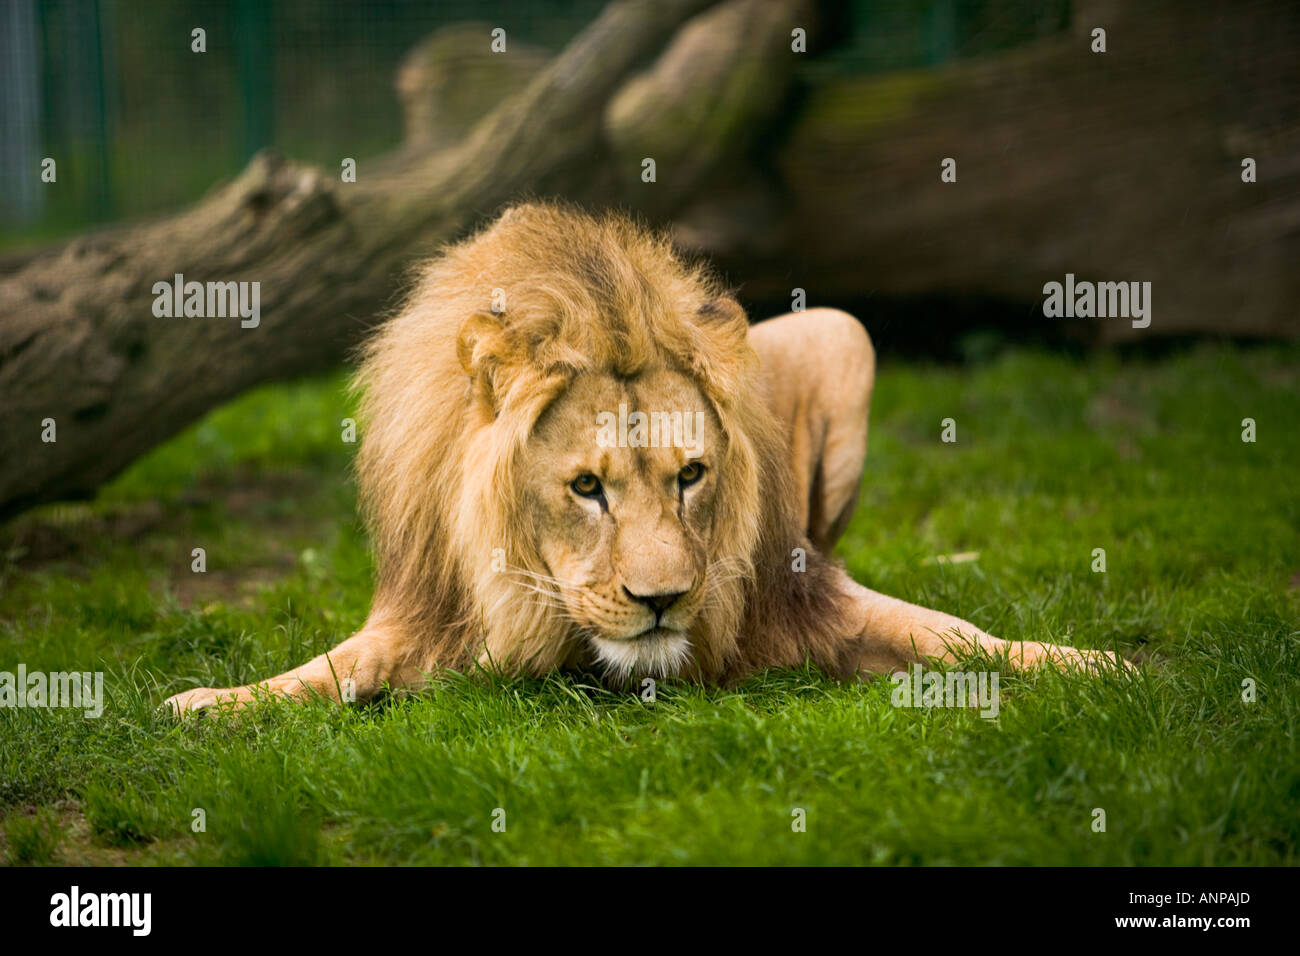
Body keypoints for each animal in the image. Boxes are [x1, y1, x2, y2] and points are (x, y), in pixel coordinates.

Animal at [166, 202, 1122, 713]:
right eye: (587, 487)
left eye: (691, 476)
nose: (662, 601)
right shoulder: (421, 614)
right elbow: (338, 667)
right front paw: (210, 705)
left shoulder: (800, 595)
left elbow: (954, 634)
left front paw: (1092, 666)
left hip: (841, 332)